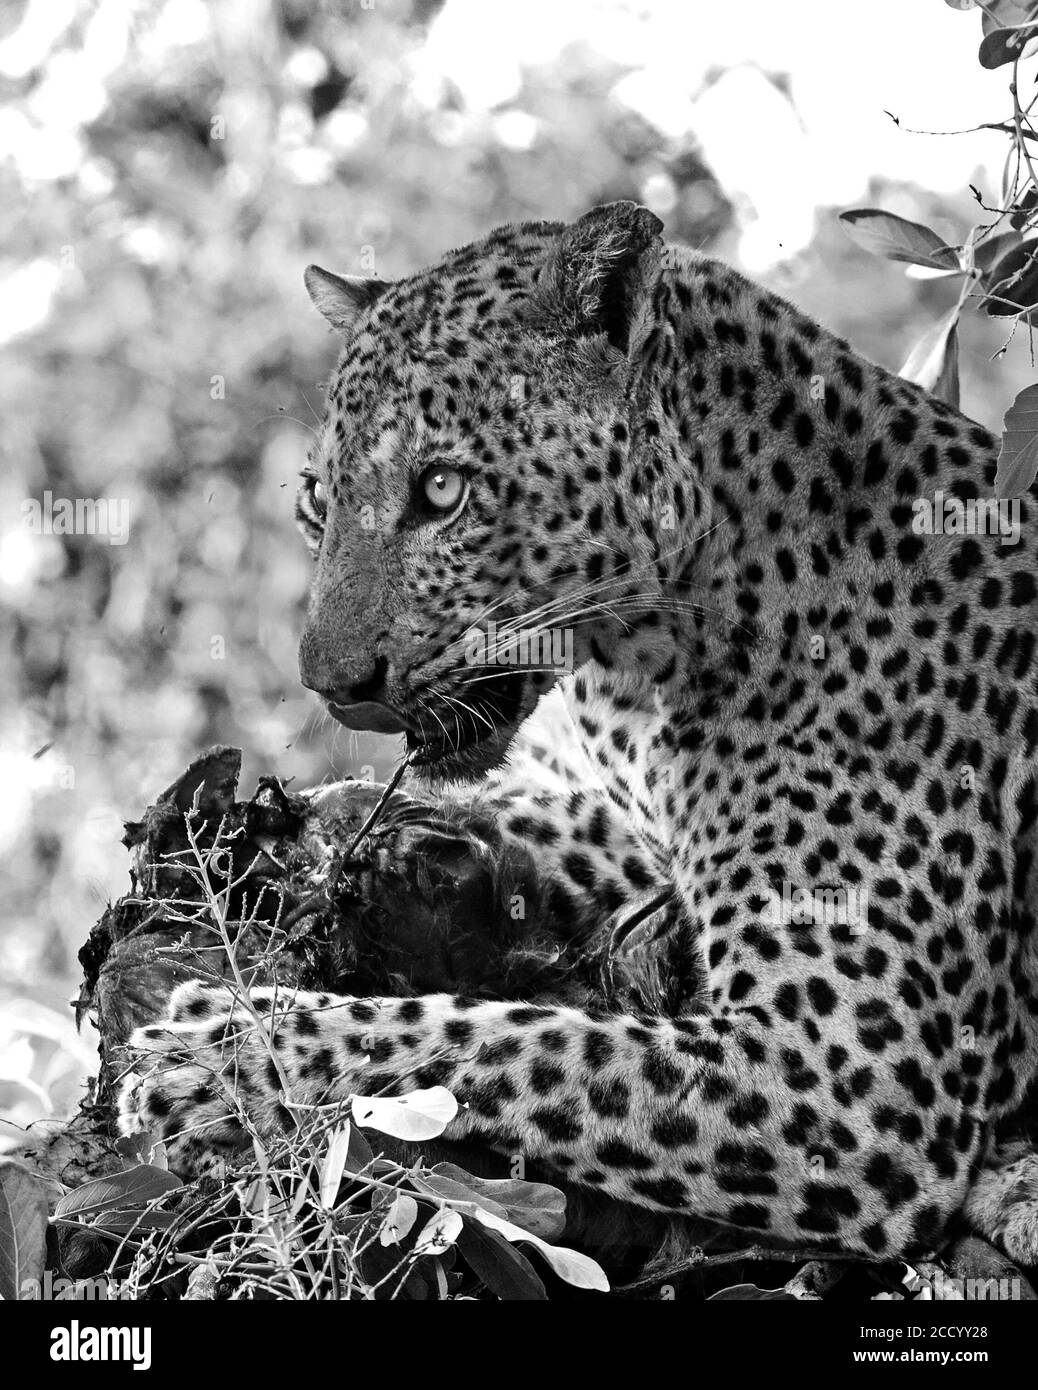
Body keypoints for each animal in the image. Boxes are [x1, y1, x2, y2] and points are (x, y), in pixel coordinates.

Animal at [120, 200, 1038, 1264]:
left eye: (442, 490)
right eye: (317, 500)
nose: (334, 687)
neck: (650, 668)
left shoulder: (847, 1079)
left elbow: (498, 1038)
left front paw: (218, 1055)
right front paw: (292, 837)